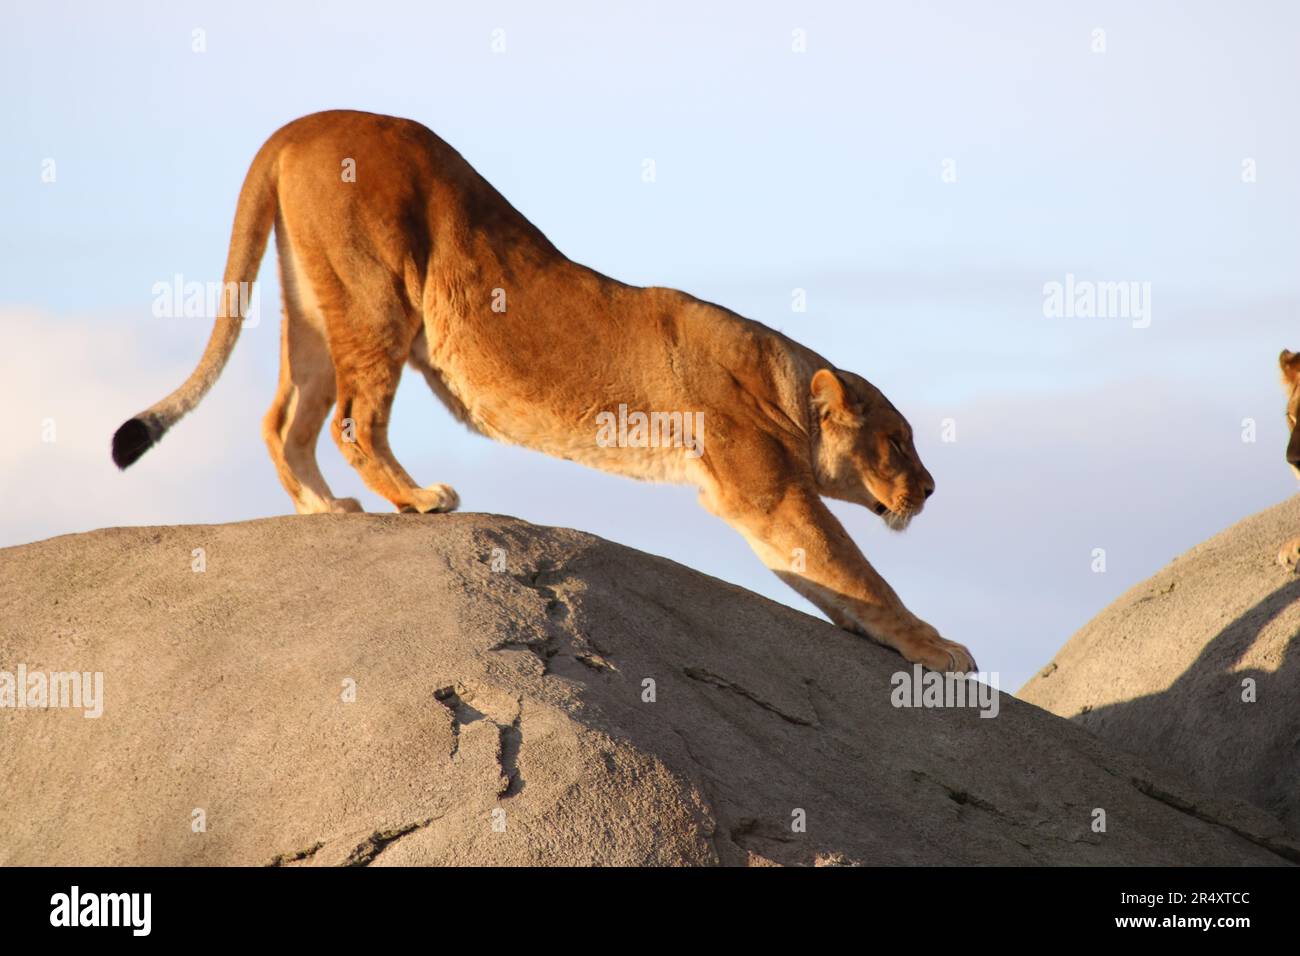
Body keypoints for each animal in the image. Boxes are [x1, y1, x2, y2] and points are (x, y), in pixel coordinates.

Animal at [112, 110, 975, 673]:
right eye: (897, 441)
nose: (932, 489)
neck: (783, 381)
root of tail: (299, 125)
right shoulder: (767, 492)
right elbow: (858, 572)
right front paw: (942, 649)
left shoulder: (749, 501)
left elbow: (834, 587)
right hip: (374, 294)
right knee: (354, 420)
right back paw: (417, 498)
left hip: (317, 303)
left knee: (283, 417)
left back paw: (325, 509)